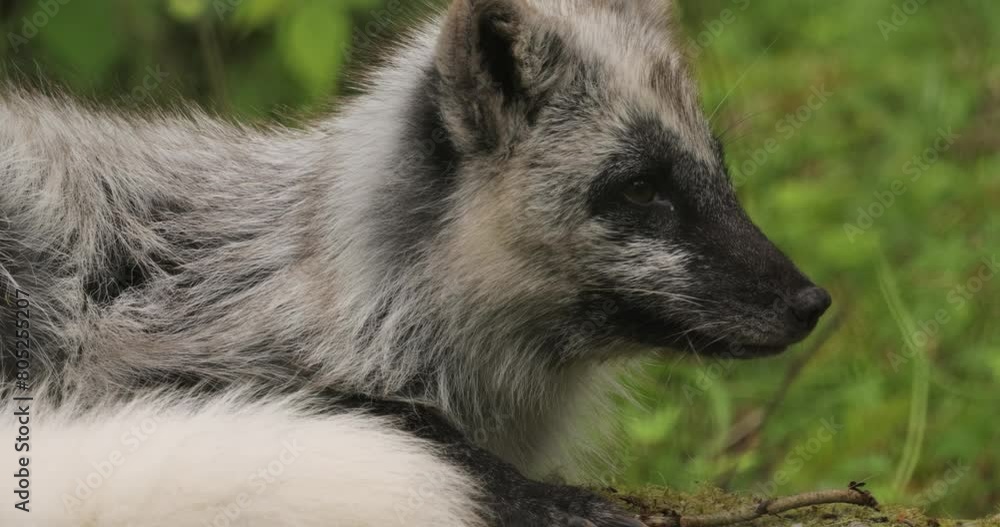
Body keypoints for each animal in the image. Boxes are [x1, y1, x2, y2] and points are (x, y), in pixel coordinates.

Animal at [0, 0, 832, 525]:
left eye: (718, 170)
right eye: (639, 188)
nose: (813, 302)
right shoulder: (133, 355)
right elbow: (410, 424)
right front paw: (543, 499)